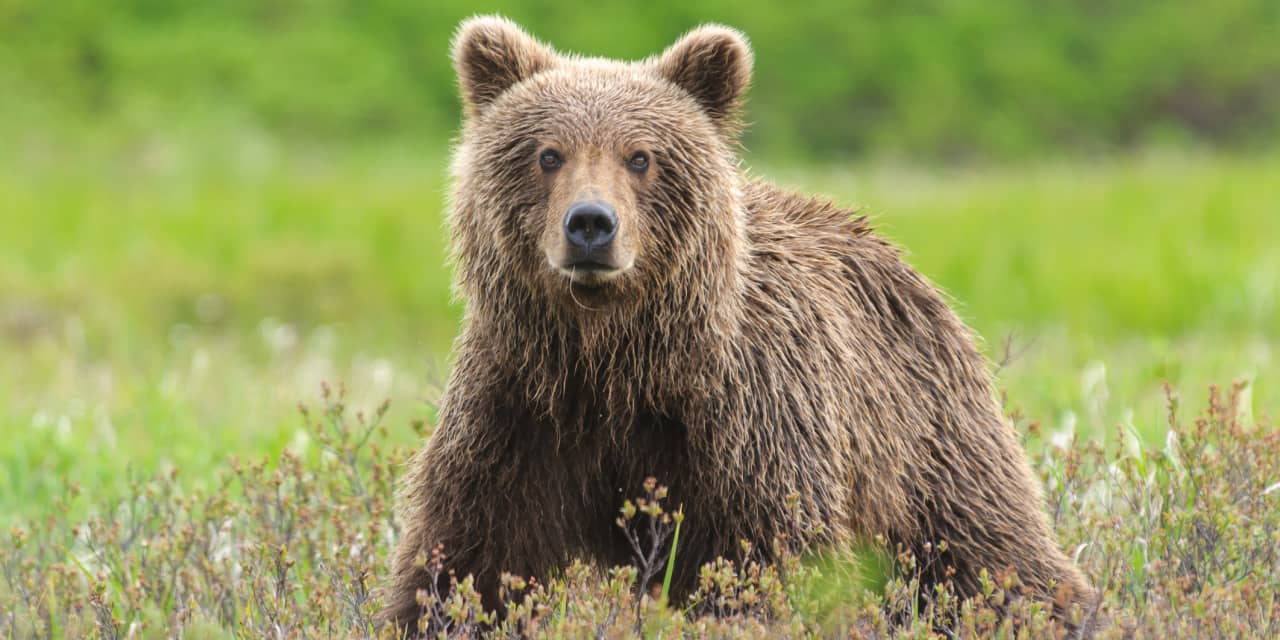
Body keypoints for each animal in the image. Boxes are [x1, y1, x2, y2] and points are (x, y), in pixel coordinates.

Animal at [383, 15, 1098, 635]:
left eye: (640, 156)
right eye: (547, 154)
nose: (590, 224)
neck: (616, 362)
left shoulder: (746, 424)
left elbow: (771, 559)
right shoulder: (519, 411)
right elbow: (468, 559)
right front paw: (437, 611)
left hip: (924, 434)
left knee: (987, 549)